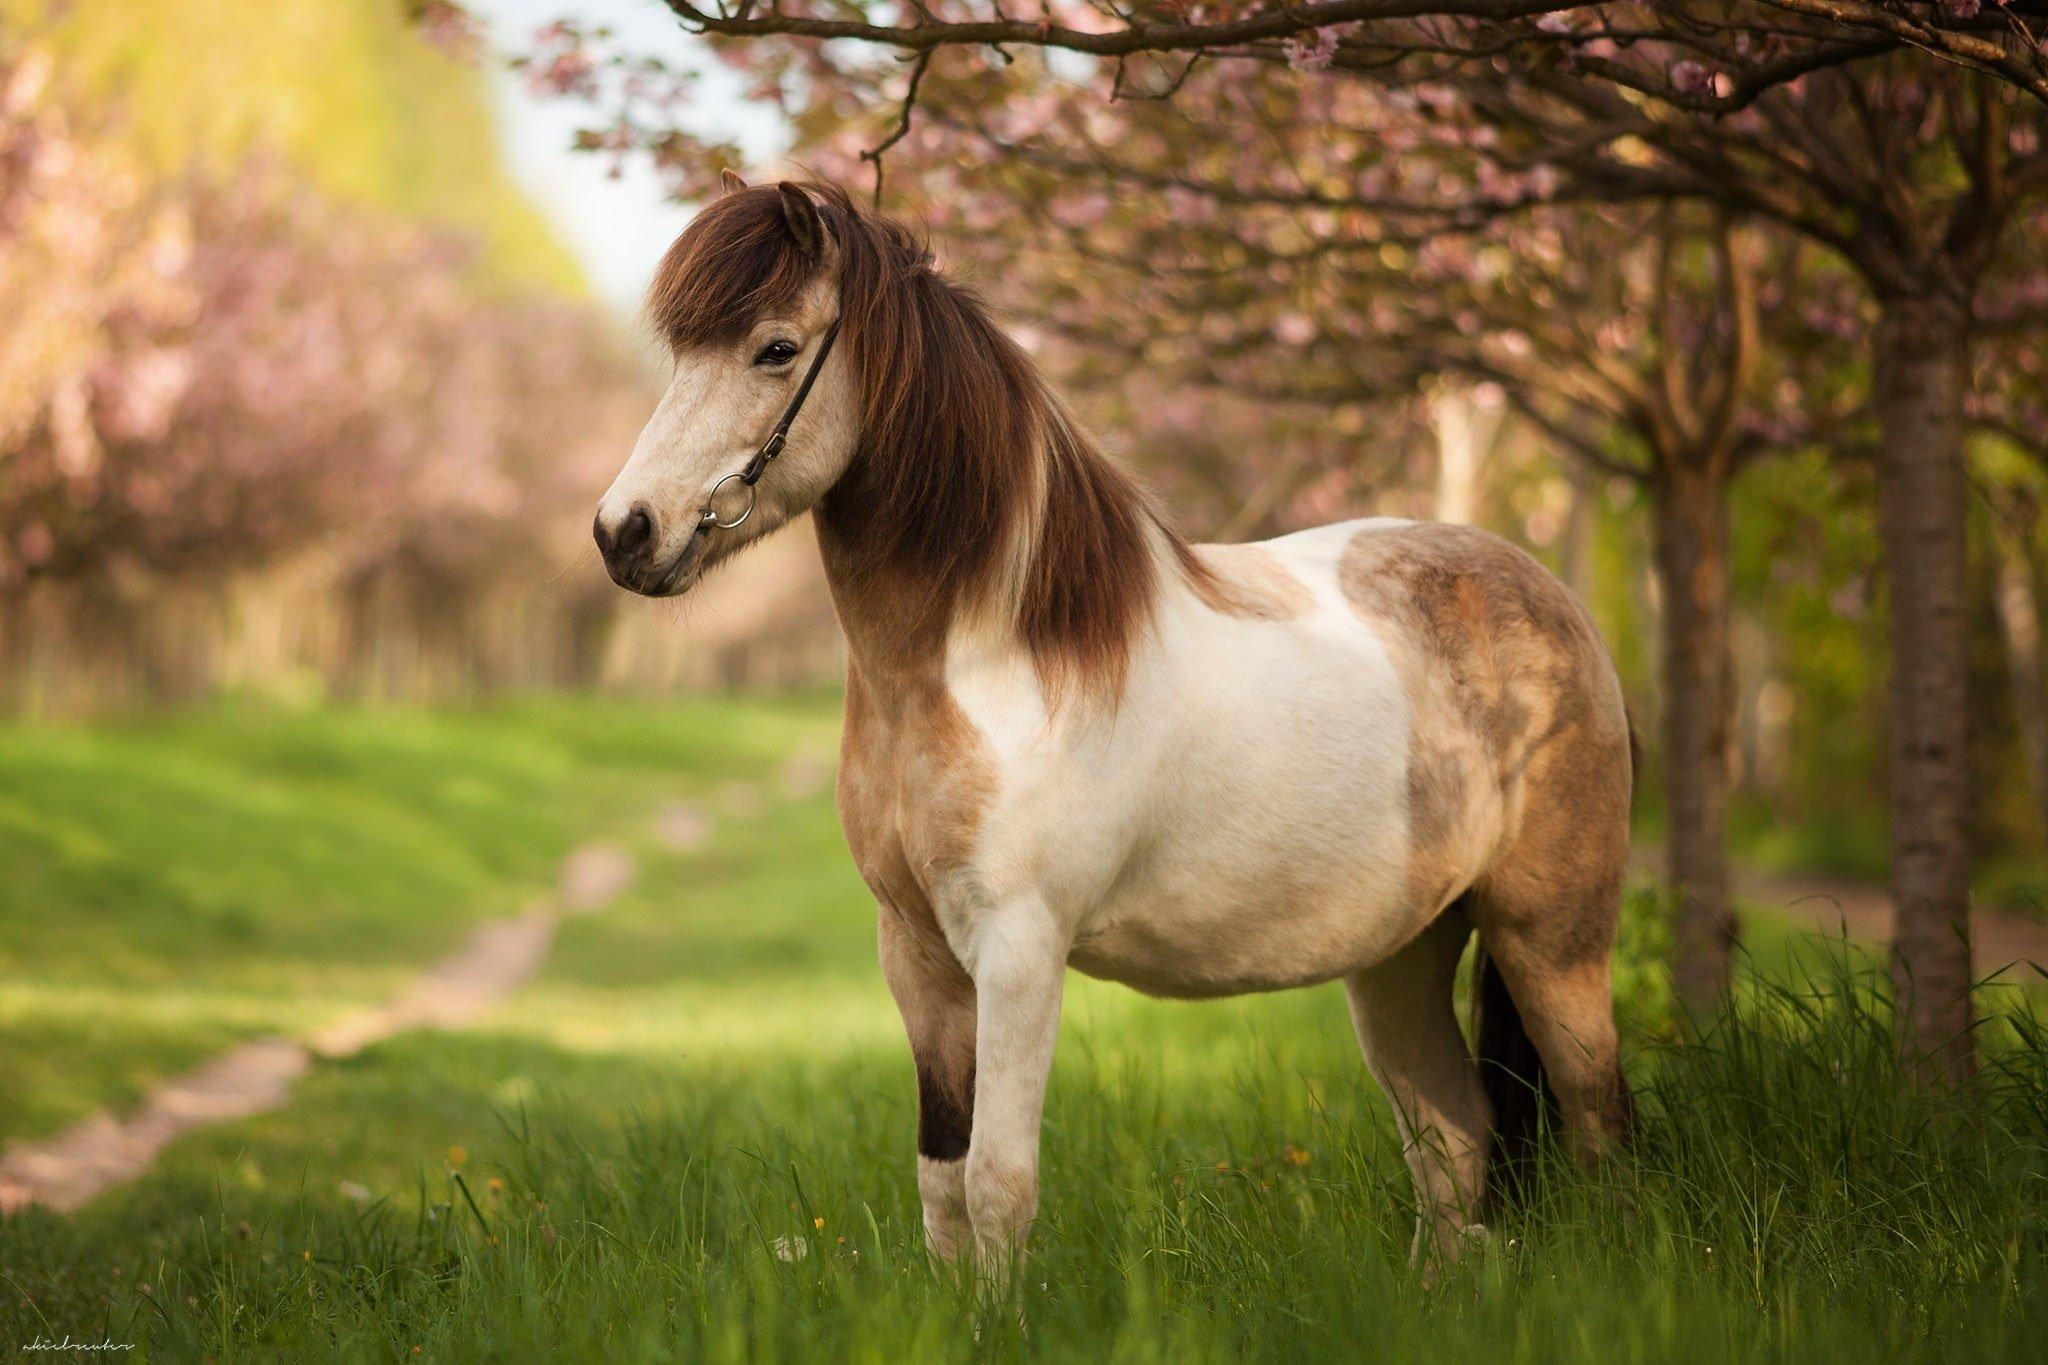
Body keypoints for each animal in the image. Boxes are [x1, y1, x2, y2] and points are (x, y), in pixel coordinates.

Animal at [593, 177, 1636, 1271]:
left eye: (776, 348)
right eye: (684, 354)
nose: (625, 532)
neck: (989, 660)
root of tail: (1552, 603)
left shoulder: (1018, 949)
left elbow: (999, 1185)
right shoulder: (916, 956)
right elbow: (942, 1190)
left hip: (1552, 943)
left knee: (1596, 1120)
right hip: (1404, 953)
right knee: (1451, 1141)